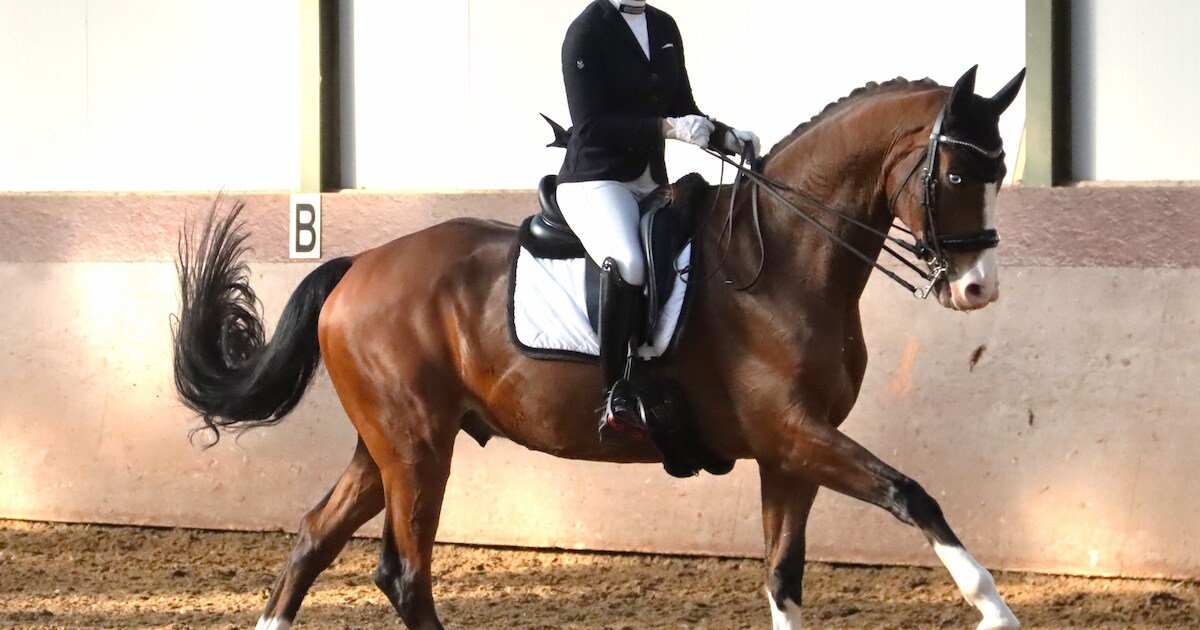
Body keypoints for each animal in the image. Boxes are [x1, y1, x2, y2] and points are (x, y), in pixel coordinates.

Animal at [172, 65, 1026, 630]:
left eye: (1002, 172)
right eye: (956, 173)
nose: (978, 288)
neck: (783, 256)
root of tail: (360, 266)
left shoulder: (788, 452)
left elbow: (784, 578)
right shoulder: (794, 434)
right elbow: (912, 494)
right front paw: (992, 608)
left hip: (388, 443)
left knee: (315, 540)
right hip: (415, 449)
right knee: (405, 573)